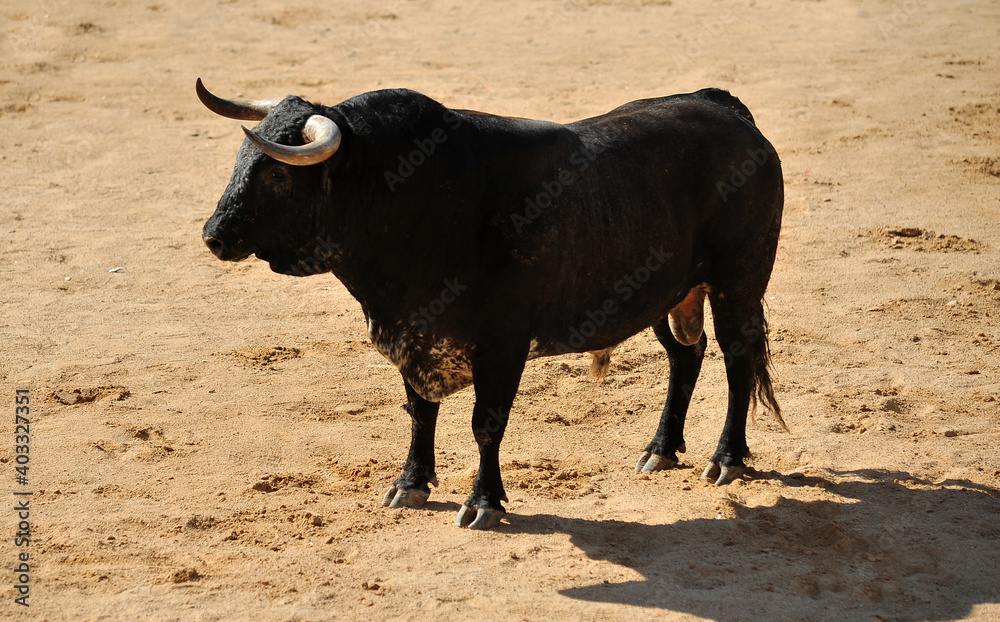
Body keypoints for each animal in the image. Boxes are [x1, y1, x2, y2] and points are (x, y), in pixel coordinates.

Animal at [197, 78, 784, 530]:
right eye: (240, 159)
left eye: (277, 172)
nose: (214, 235)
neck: (412, 199)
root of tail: (723, 106)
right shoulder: (415, 331)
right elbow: (420, 411)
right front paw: (410, 484)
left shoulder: (502, 346)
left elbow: (486, 423)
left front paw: (484, 502)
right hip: (671, 293)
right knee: (686, 354)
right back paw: (660, 449)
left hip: (738, 284)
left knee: (736, 361)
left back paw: (726, 459)